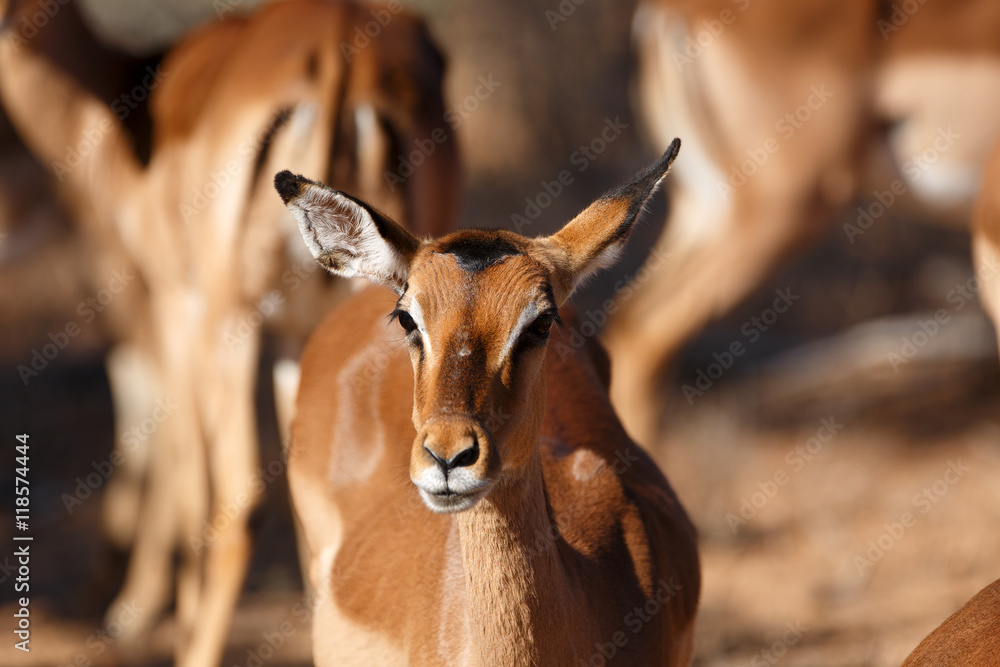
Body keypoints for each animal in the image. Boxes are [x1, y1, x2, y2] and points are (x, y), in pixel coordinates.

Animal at [0, 0, 458, 664]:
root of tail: (342, 44)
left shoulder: (176, 304)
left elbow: (173, 452)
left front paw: (136, 609)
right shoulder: (292, 338)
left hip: (230, 321)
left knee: (239, 502)